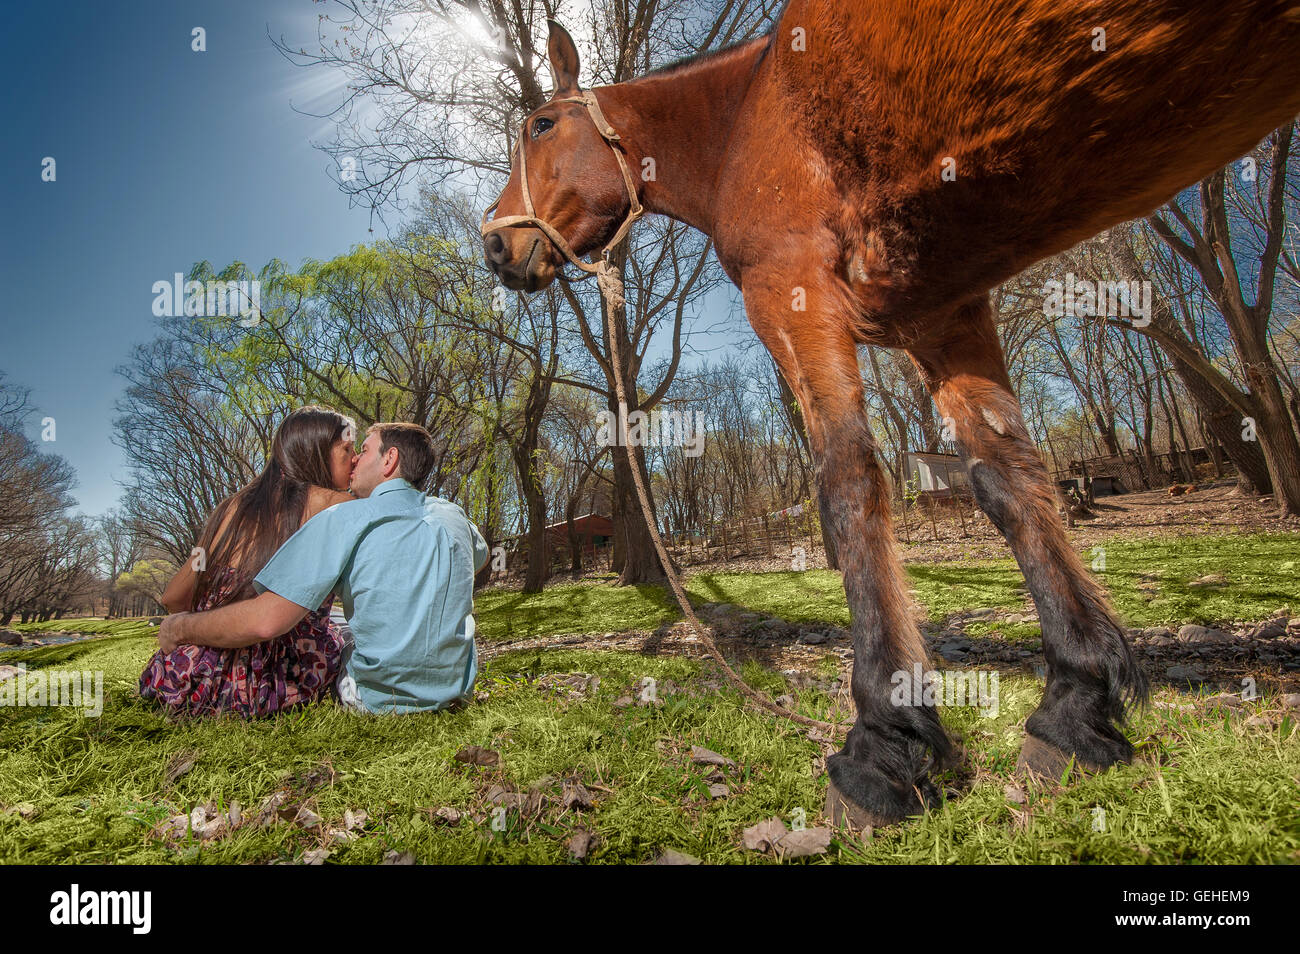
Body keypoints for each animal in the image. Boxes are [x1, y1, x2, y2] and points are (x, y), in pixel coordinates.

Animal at [482, 1, 1300, 828]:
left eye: (542, 124)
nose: (496, 245)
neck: (745, 117)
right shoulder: (943, 314)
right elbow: (1009, 484)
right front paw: (1075, 707)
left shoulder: (793, 292)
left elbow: (848, 483)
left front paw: (884, 744)